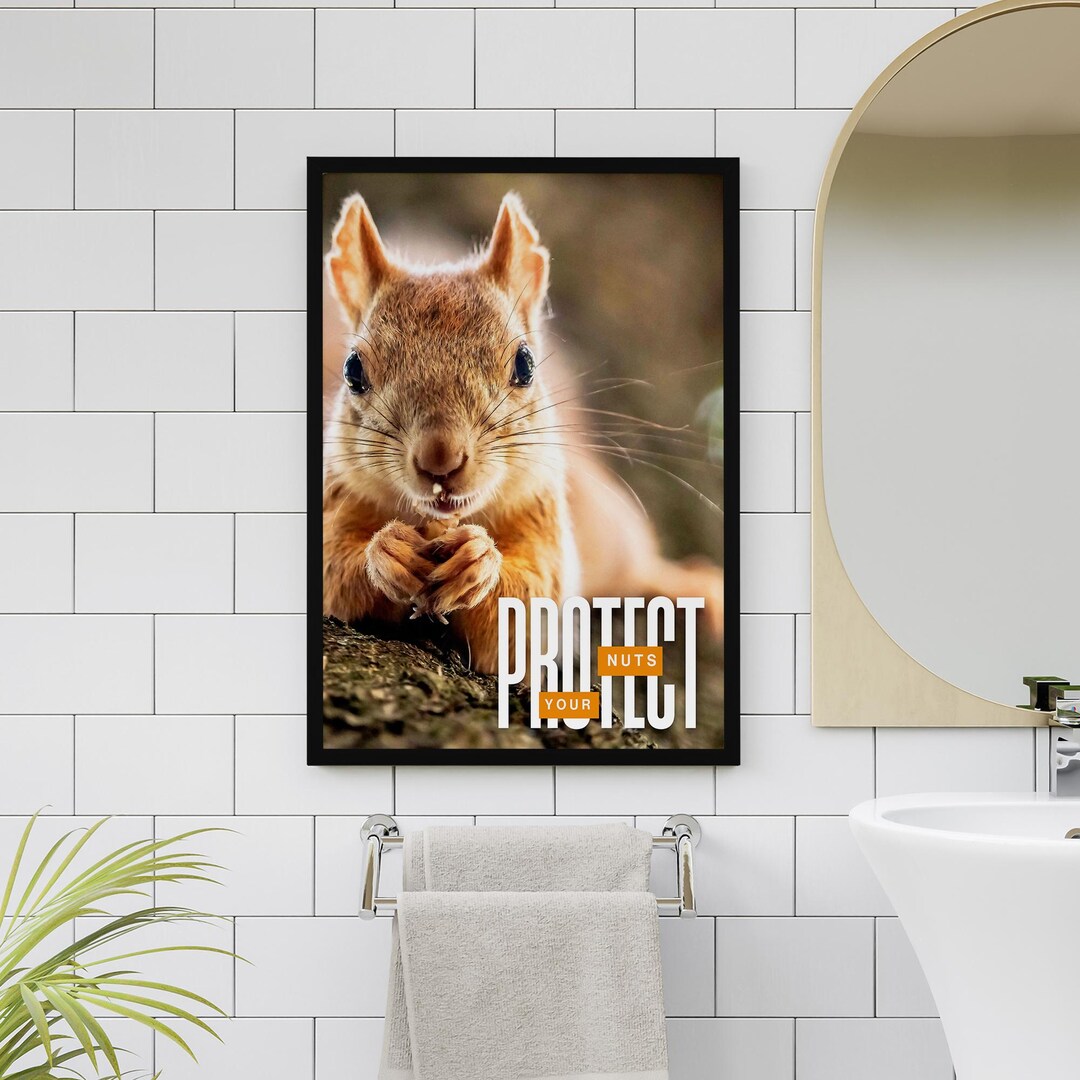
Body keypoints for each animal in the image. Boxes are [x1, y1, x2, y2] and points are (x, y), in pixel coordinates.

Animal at [323, 192, 723, 674]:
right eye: (353, 370)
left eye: (526, 364)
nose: (440, 459)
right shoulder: (338, 497)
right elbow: (334, 575)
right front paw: (387, 552)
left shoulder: (542, 515)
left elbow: (526, 616)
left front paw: (479, 561)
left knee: (639, 563)